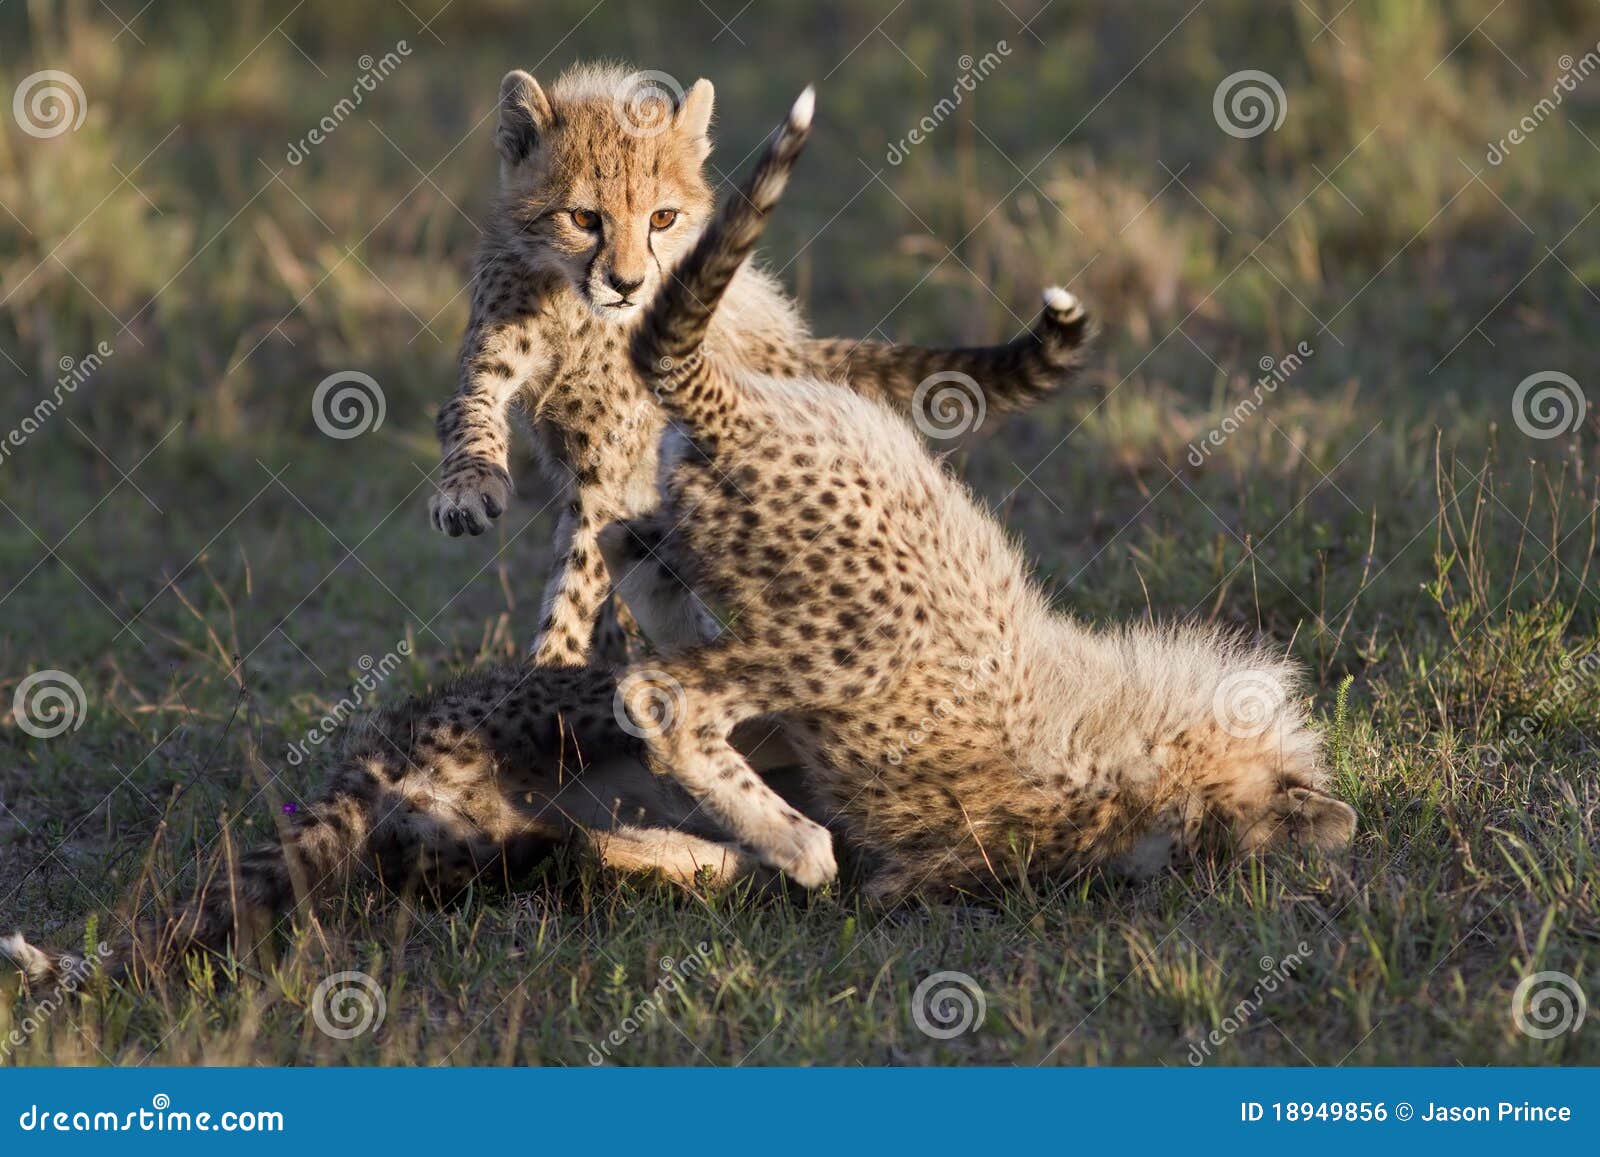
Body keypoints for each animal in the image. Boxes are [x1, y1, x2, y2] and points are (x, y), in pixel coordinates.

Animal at [427, 61, 1095, 667]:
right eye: (584, 218)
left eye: (662, 218)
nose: (627, 284)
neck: (576, 309)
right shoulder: (495, 360)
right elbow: (470, 414)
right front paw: (466, 490)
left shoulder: (608, 471)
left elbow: (578, 579)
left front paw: (551, 670)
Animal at [604, 85, 1358, 901]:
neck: (1142, 784)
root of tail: (735, 410)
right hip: (843, 634)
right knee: (657, 669)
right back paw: (796, 841)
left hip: (768, 582)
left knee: (640, 609)